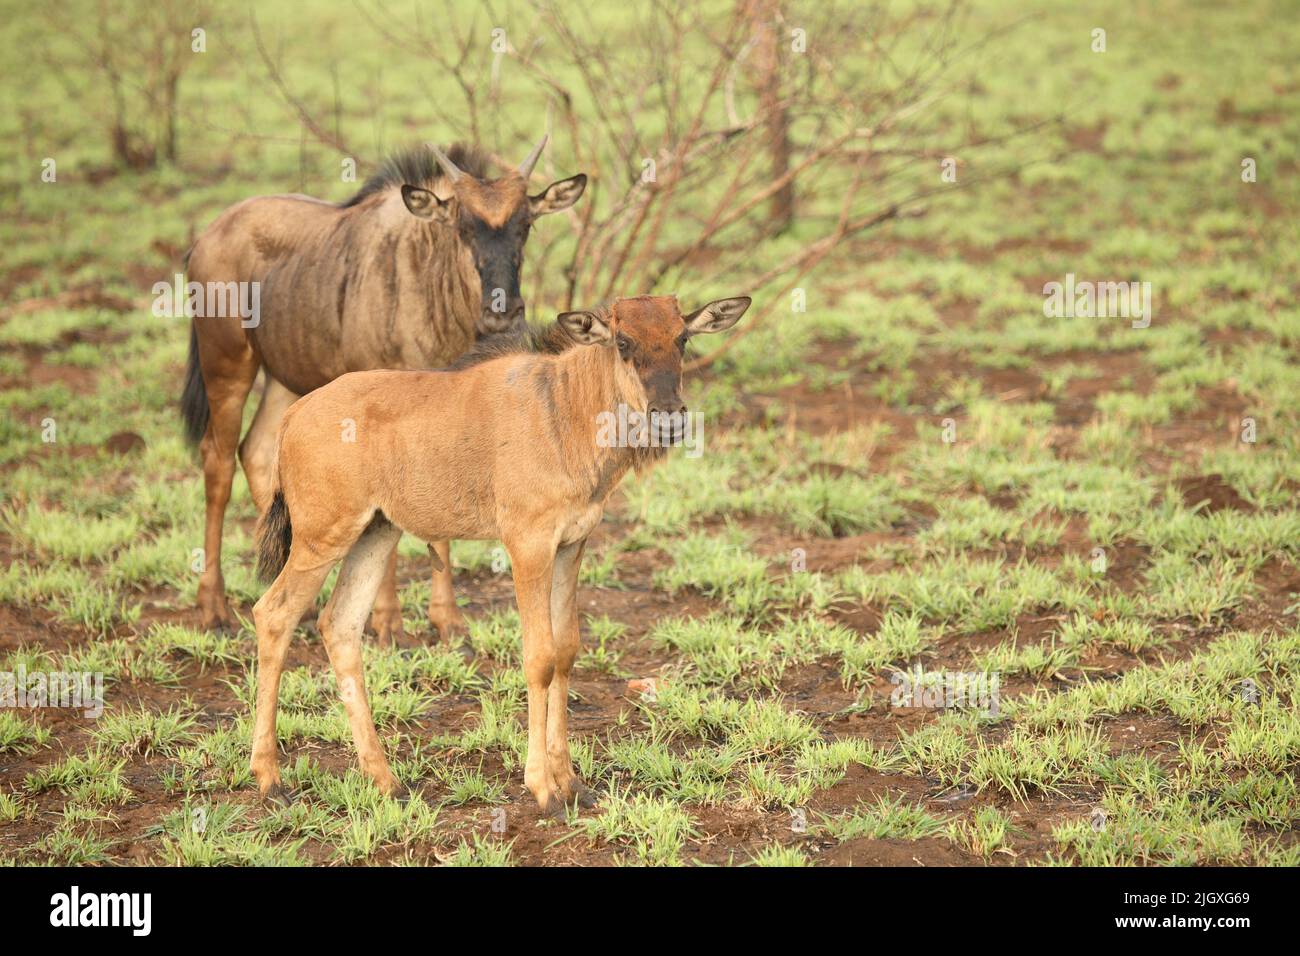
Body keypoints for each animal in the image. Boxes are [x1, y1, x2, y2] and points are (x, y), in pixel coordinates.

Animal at [181, 137, 586, 646]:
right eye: (462, 227)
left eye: (525, 225)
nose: (503, 312)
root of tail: (208, 235)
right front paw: (388, 617)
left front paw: (446, 617)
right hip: (228, 366)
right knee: (216, 460)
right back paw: (211, 604)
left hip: (283, 378)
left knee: (255, 452)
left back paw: (301, 596)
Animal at [250, 294, 751, 813]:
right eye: (622, 341)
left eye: (682, 338)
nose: (668, 417)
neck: (565, 407)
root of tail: (295, 414)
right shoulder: (528, 546)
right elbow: (539, 657)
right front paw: (542, 786)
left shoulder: (571, 545)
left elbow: (566, 651)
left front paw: (570, 780)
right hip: (322, 538)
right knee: (274, 614)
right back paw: (269, 777)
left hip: (375, 533)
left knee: (340, 625)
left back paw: (385, 779)